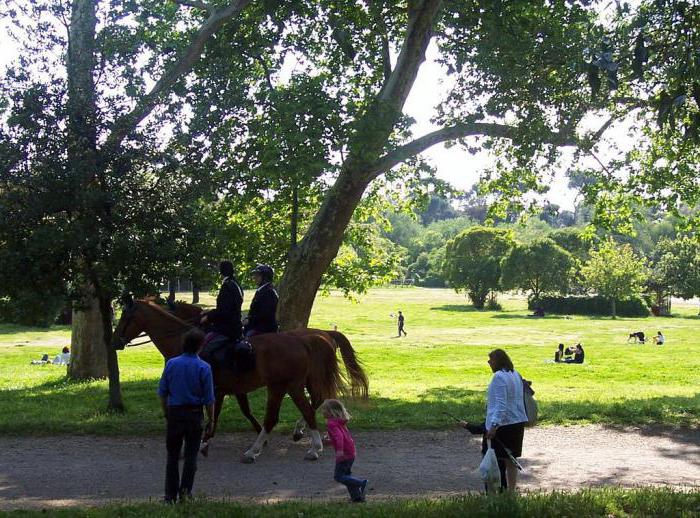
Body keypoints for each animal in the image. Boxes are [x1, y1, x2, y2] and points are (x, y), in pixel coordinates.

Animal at [112, 298, 370, 466]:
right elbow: (225, 413)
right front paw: (205, 441)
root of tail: (311, 338)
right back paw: (308, 443)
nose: (115, 341)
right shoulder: (227, 390)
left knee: (285, 415)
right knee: (309, 407)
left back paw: (259, 450)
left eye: (125, 316)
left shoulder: (214, 389)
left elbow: (212, 415)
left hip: (282, 387)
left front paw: (202, 442)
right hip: (294, 385)